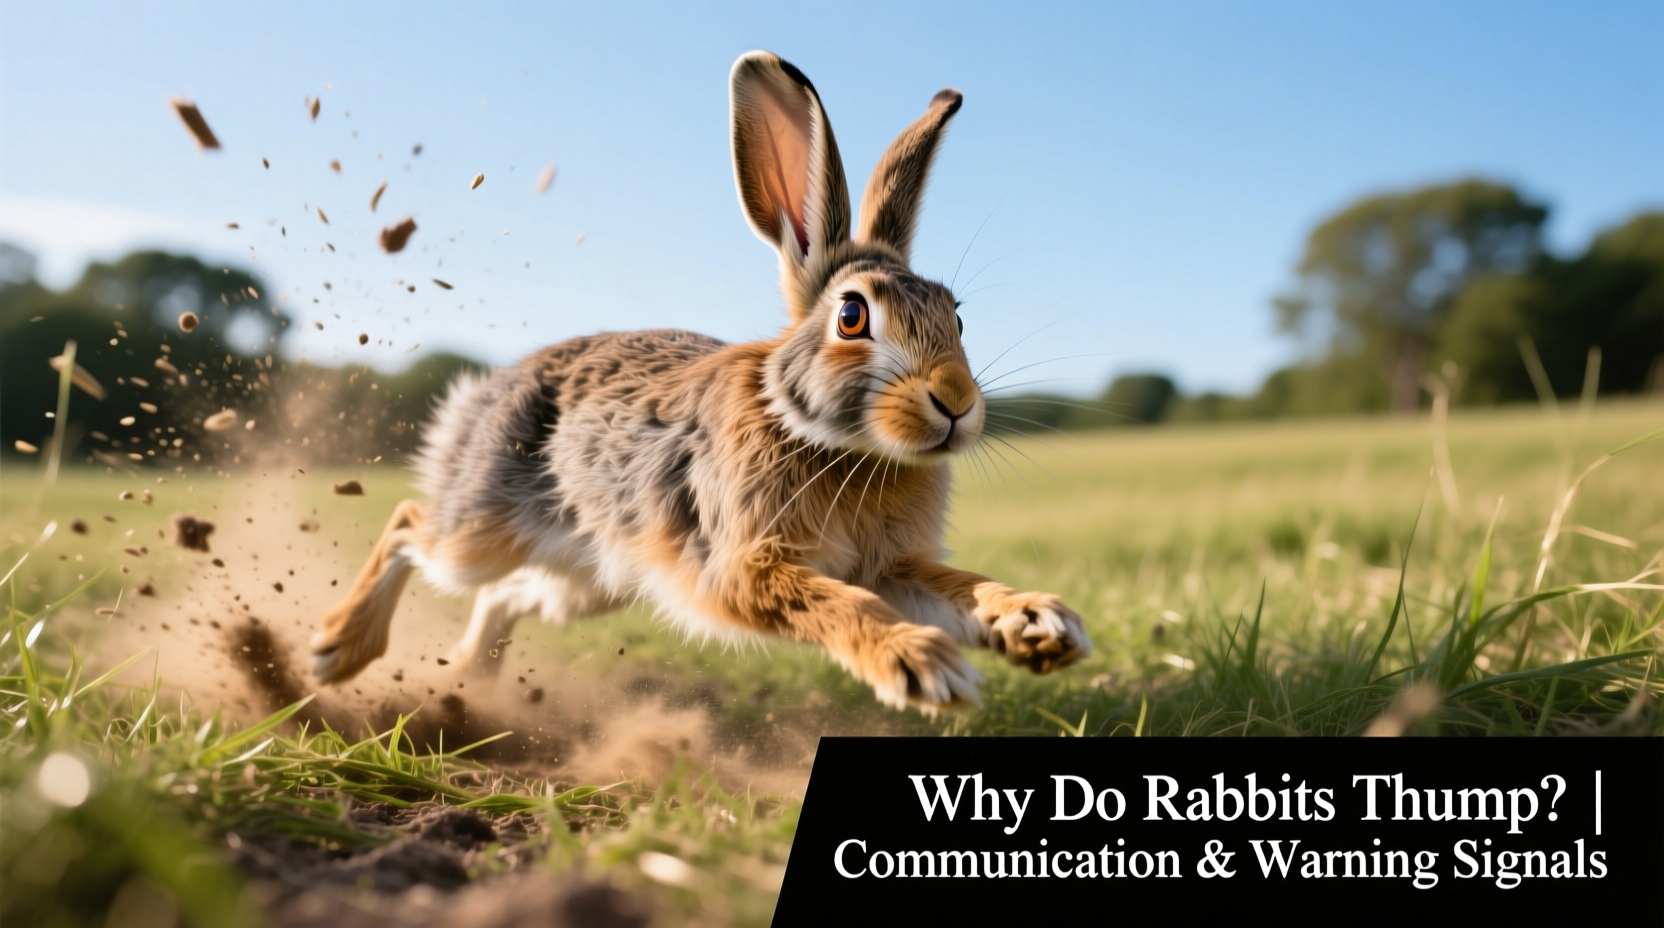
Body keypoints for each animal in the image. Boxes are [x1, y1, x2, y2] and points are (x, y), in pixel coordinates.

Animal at [308, 50, 1091, 712]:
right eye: (852, 316)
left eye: (956, 316)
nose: (956, 404)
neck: (831, 441)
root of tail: (490, 390)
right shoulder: (743, 565)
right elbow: (839, 604)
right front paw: (919, 663)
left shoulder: (890, 565)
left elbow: (958, 587)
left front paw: (1040, 622)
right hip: (482, 529)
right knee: (412, 525)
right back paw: (337, 648)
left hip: (590, 578)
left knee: (506, 596)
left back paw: (469, 677)